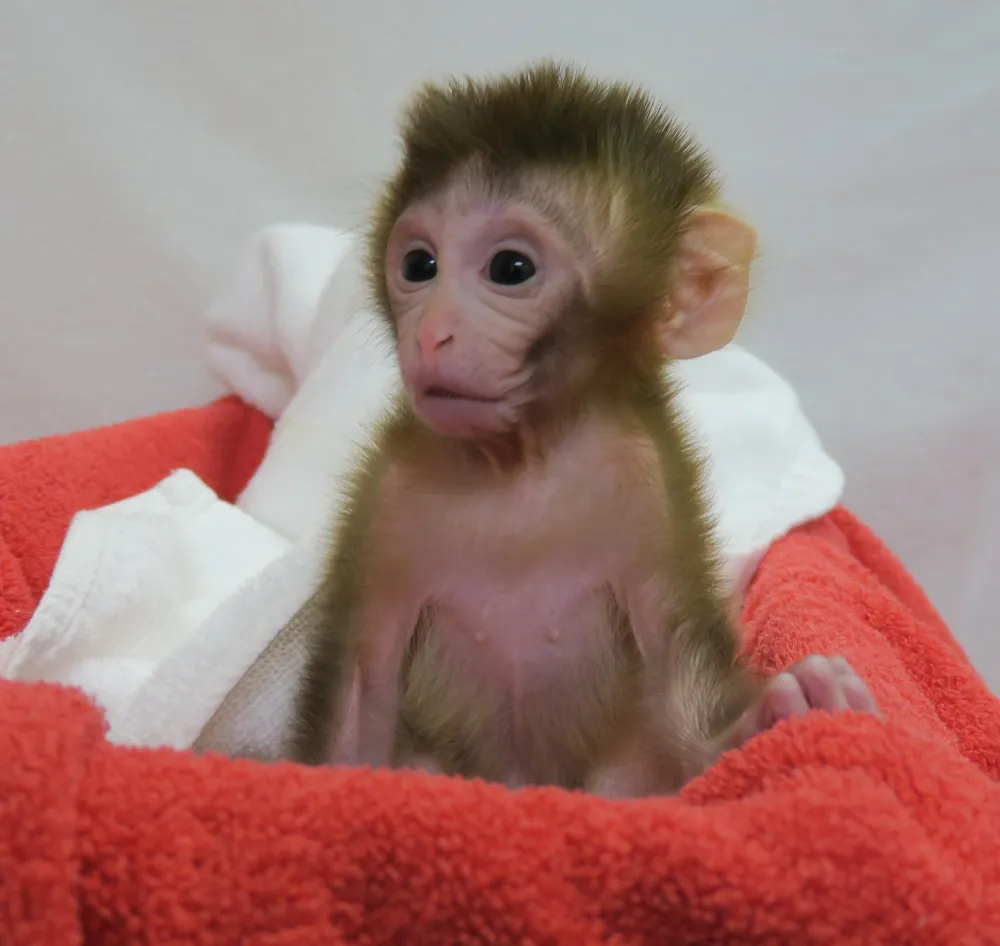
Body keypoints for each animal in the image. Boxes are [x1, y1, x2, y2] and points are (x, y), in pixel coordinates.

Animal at [285, 61, 879, 796]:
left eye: (510, 269)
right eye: (419, 265)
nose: (430, 334)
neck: (519, 466)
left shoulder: (648, 489)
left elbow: (680, 686)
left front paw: (770, 715)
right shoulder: (388, 502)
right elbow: (361, 707)